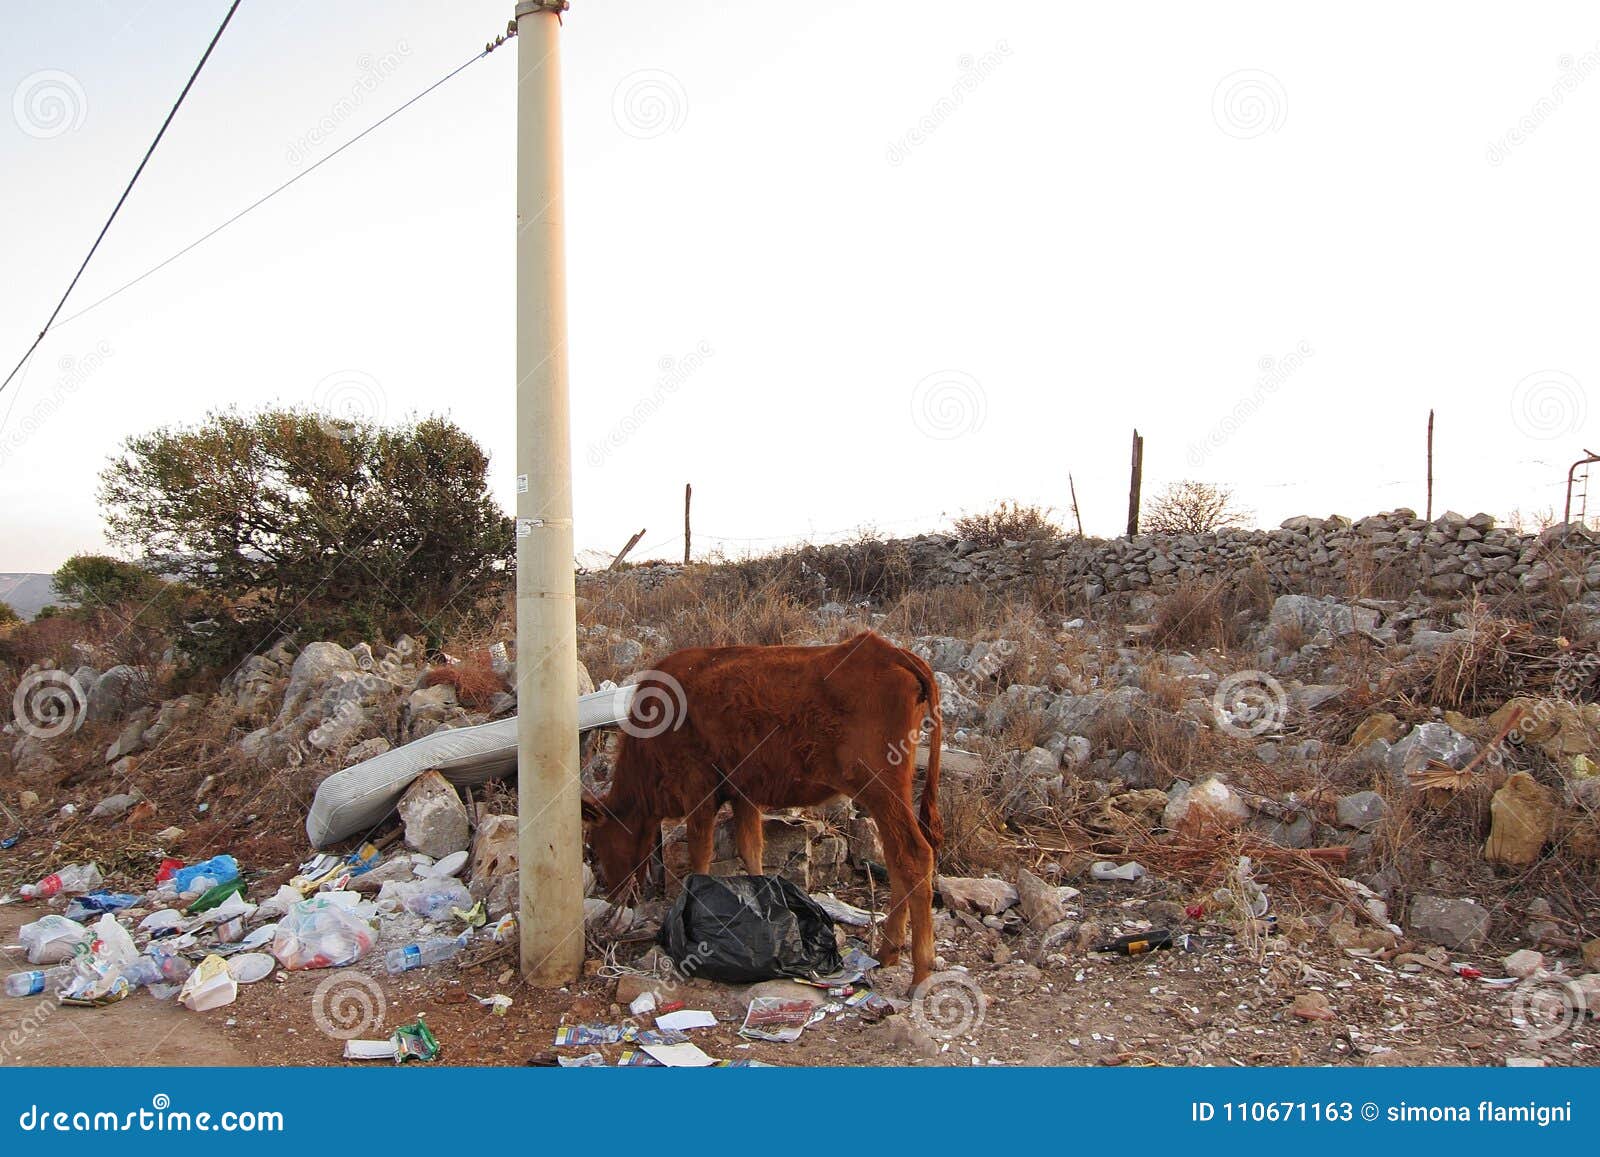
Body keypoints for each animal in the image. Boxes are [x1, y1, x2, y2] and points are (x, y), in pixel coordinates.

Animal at [581, 630, 943, 987]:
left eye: (596, 845)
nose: (614, 895)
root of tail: (885, 649)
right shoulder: (743, 792)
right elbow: (750, 848)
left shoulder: (697, 788)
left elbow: (700, 854)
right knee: (896, 860)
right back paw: (888, 952)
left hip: (881, 786)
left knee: (913, 855)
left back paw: (920, 971)